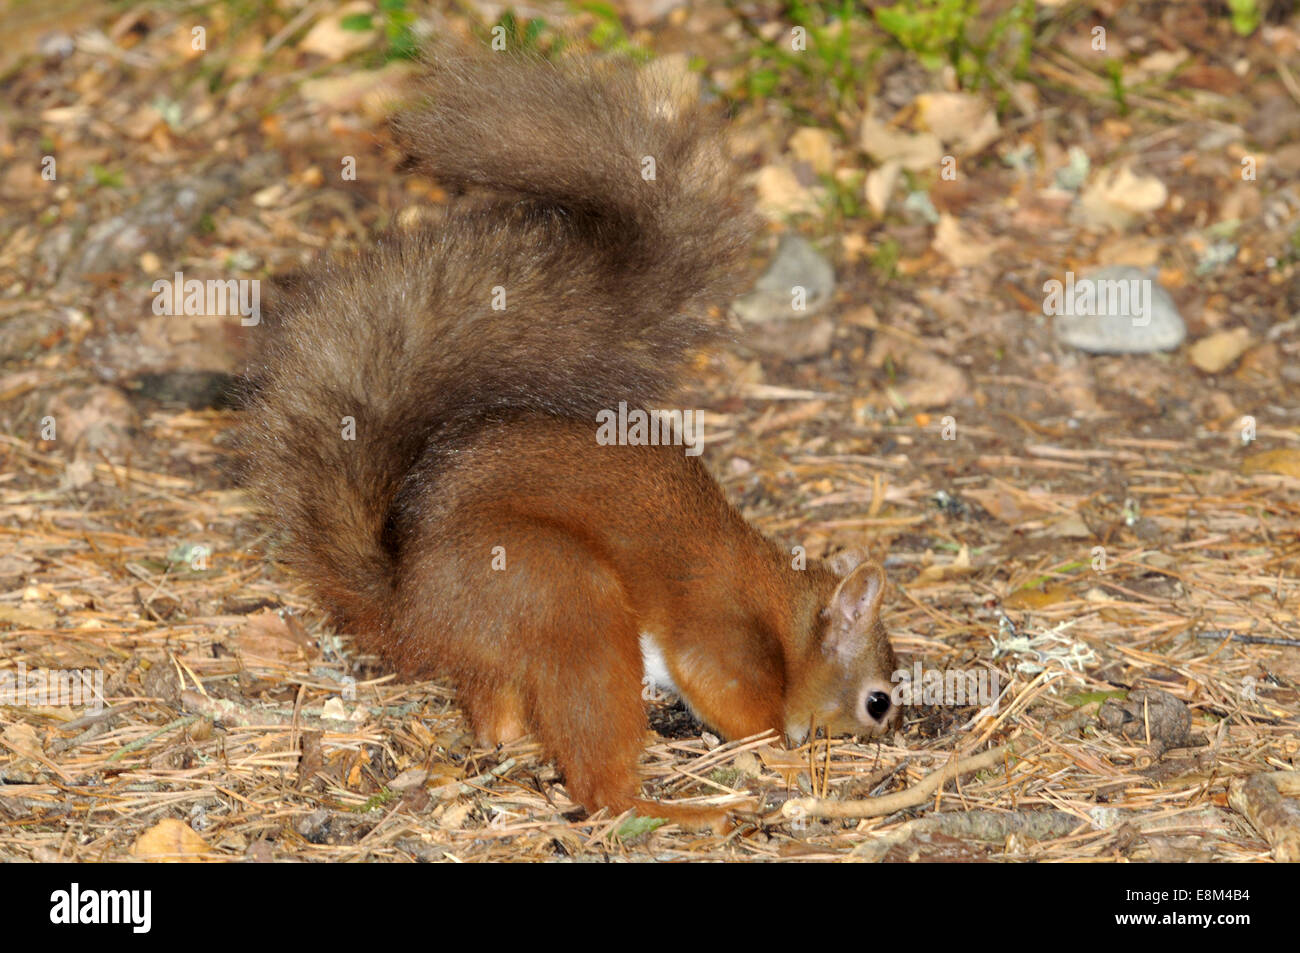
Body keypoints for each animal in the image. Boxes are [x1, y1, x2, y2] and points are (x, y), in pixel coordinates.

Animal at [235, 46, 900, 828]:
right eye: (878, 701)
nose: (893, 740)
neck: (783, 606)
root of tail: (405, 608)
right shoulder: (720, 632)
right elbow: (737, 703)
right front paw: (782, 743)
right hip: (560, 592)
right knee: (596, 778)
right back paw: (674, 808)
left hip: (508, 638)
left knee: (495, 717)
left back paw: (520, 747)